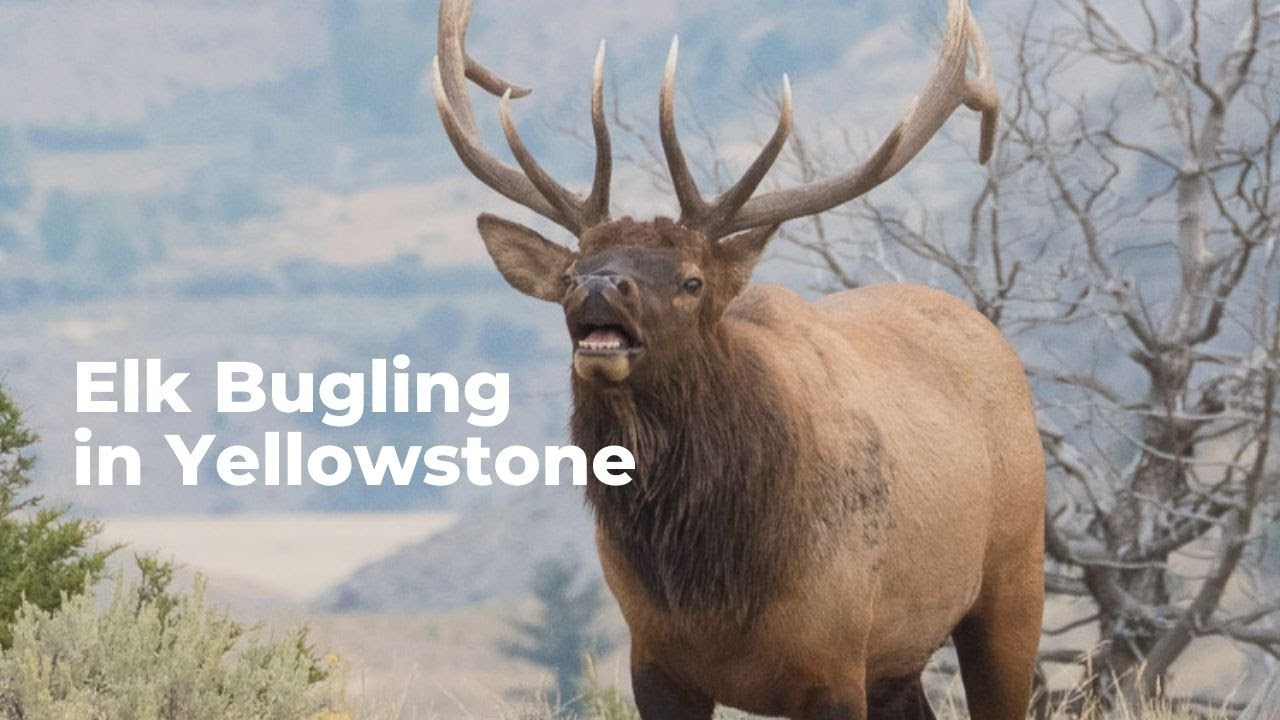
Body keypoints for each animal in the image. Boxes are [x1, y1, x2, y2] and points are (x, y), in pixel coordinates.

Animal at [432, 1, 1044, 718]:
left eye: (692, 280)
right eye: (570, 274)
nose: (600, 286)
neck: (716, 592)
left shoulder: (837, 661)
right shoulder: (655, 658)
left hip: (1014, 578)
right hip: (901, 658)